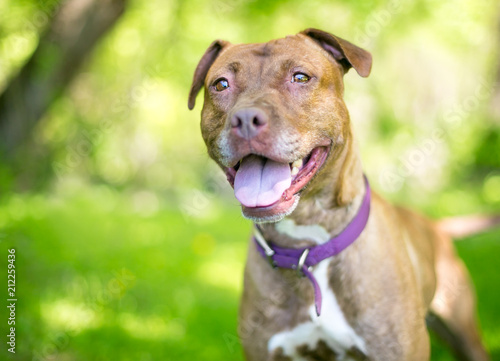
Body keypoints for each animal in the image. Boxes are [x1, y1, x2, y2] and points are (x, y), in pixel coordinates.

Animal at [189, 28, 494, 360]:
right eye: (221, 84)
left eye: (300, 77)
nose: (245, 119)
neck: (307, 246)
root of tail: (433, 226)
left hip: (464, 331)